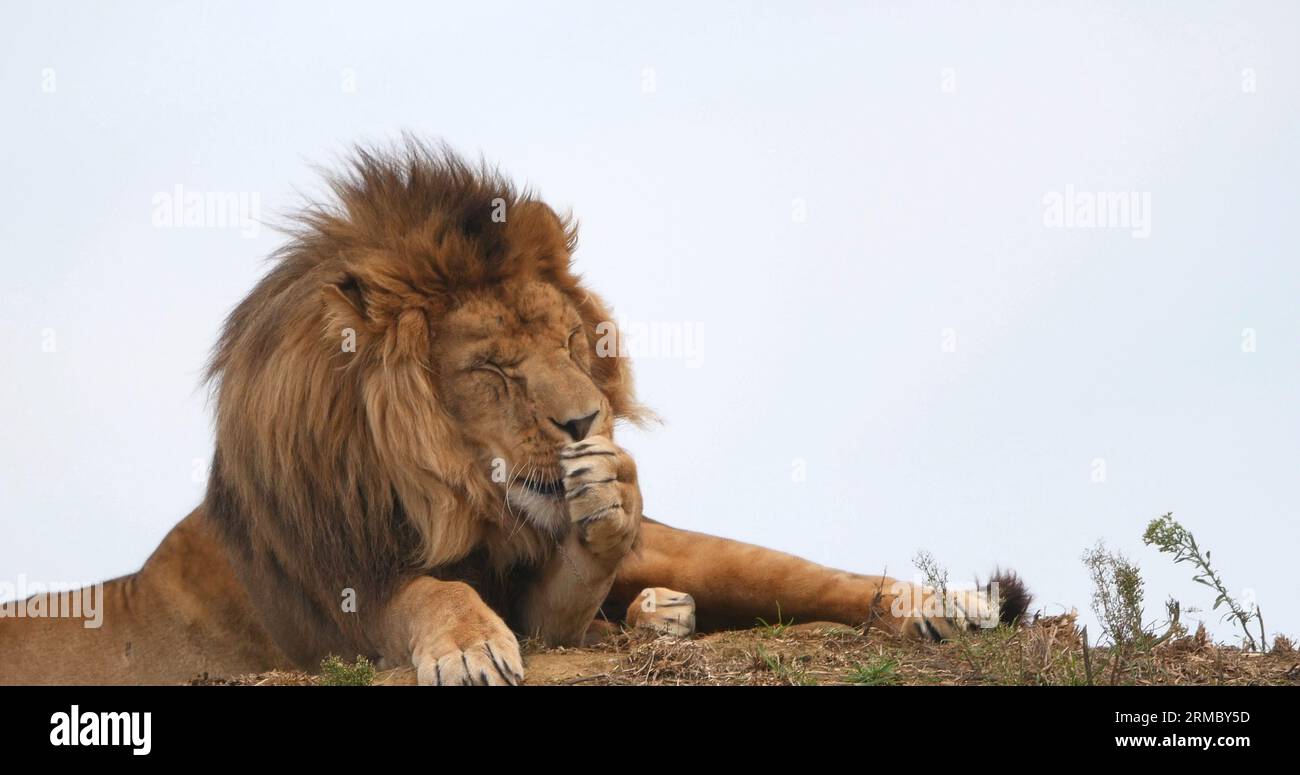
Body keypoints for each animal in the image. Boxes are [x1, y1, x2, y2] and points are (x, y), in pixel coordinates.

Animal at [0, 141, 1028, 685]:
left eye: (570, 344)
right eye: (494, 366)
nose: (588, 424)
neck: (447, 502)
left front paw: (610, 498)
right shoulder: (333, 605)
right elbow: (424, 592)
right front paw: (468, 647)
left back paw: (936, 603)